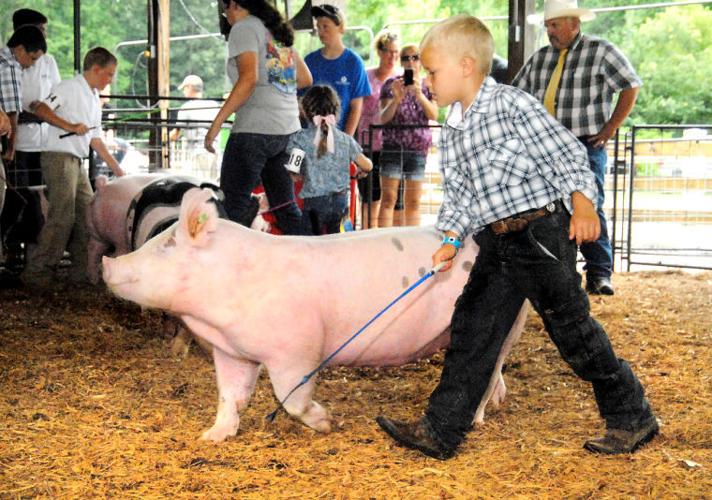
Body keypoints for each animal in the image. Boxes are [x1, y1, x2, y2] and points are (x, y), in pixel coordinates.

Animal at [102, 188, 527, 441]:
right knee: (498, 375)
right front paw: (212, 436)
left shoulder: (297, 352)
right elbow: (229, 395)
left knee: (489, 370)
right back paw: (496, 405)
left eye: (166, 246)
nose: (108, 262)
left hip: (506, 322)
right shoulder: (233, 352)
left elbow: (292, 398)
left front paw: (327, 422)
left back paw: (478, 419)